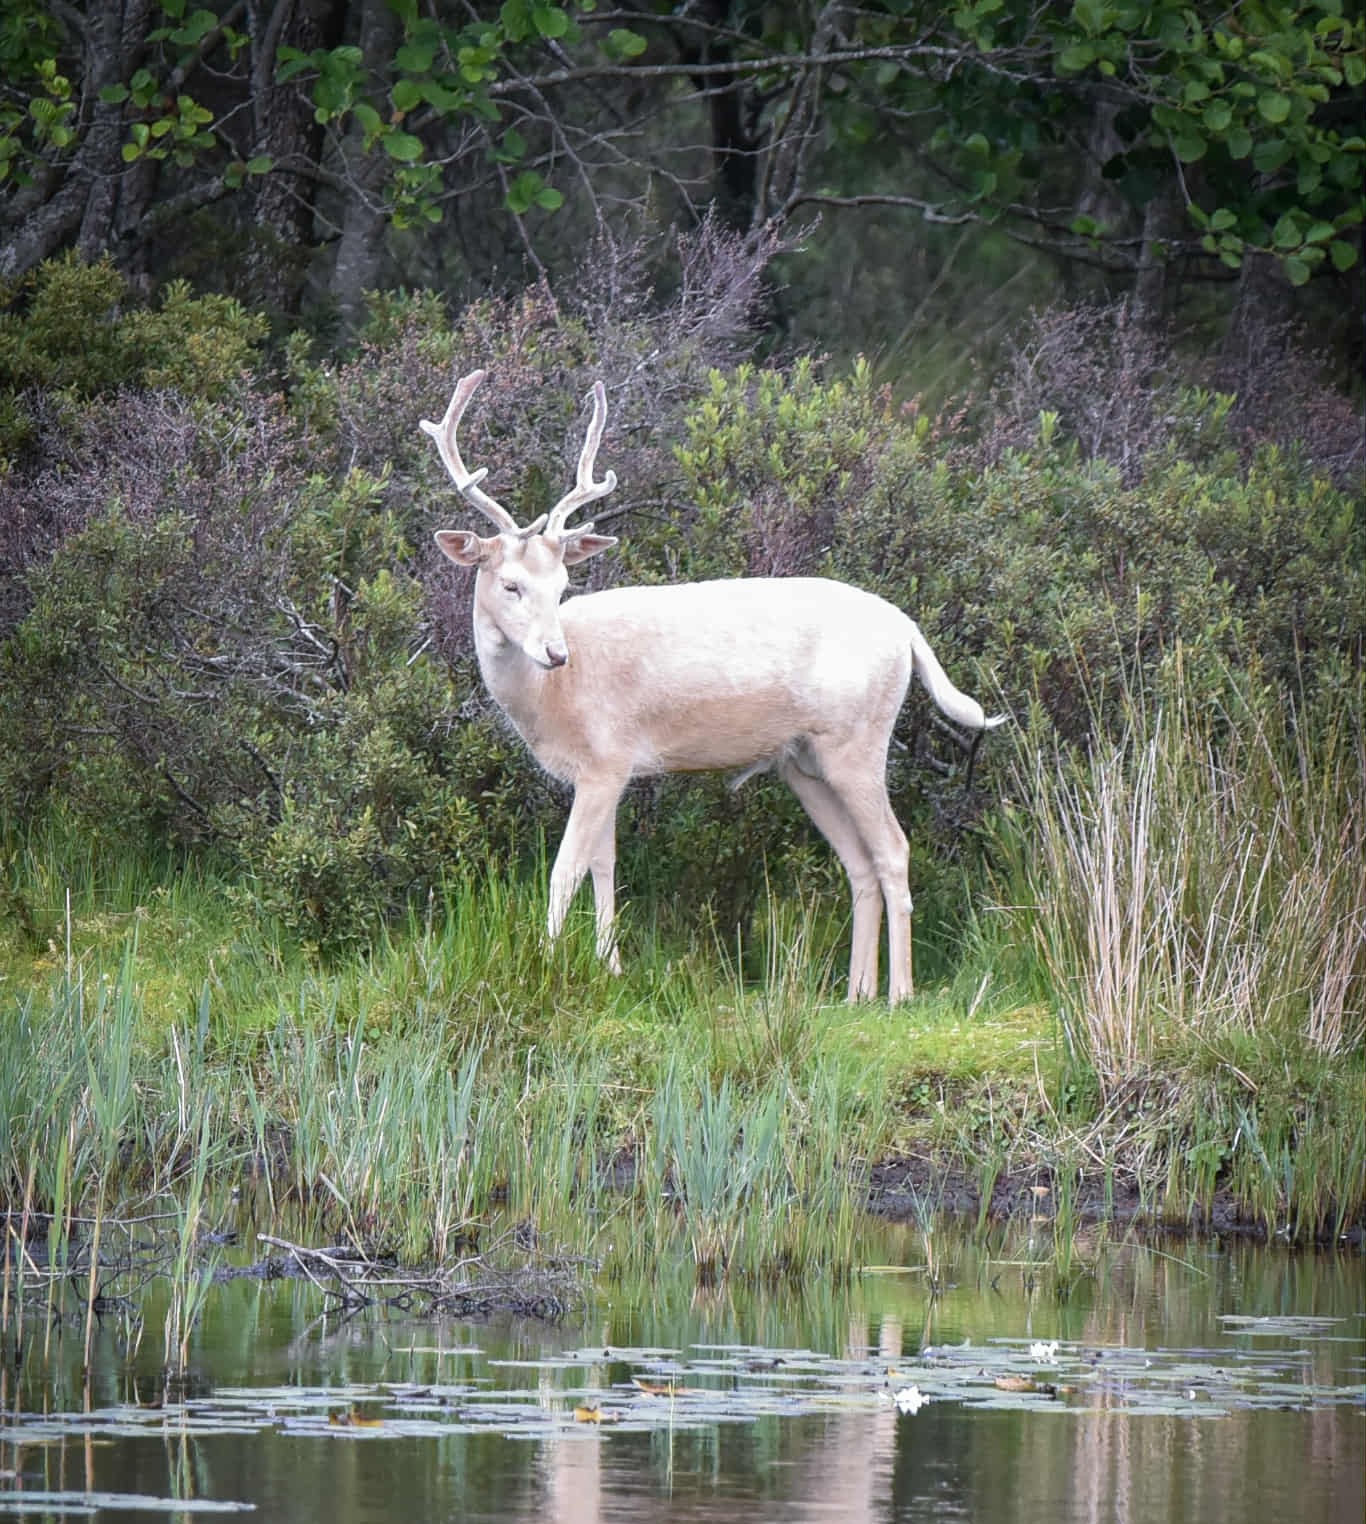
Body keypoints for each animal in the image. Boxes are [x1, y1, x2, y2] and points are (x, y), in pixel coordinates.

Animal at [424, 369, 1005, 1004]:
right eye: (510, 584)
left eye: (562, 583)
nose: (555, 652)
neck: (553, 703)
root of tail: (908, 631)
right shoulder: (601, 772)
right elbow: (604, 867)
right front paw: (608, 967)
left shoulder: (609, 759)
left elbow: (566, 870)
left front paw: (547, 967)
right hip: (805, 763)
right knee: (859, 861)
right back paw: (857, 993)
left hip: (858, 739)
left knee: (894, 850)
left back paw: (899, 994)